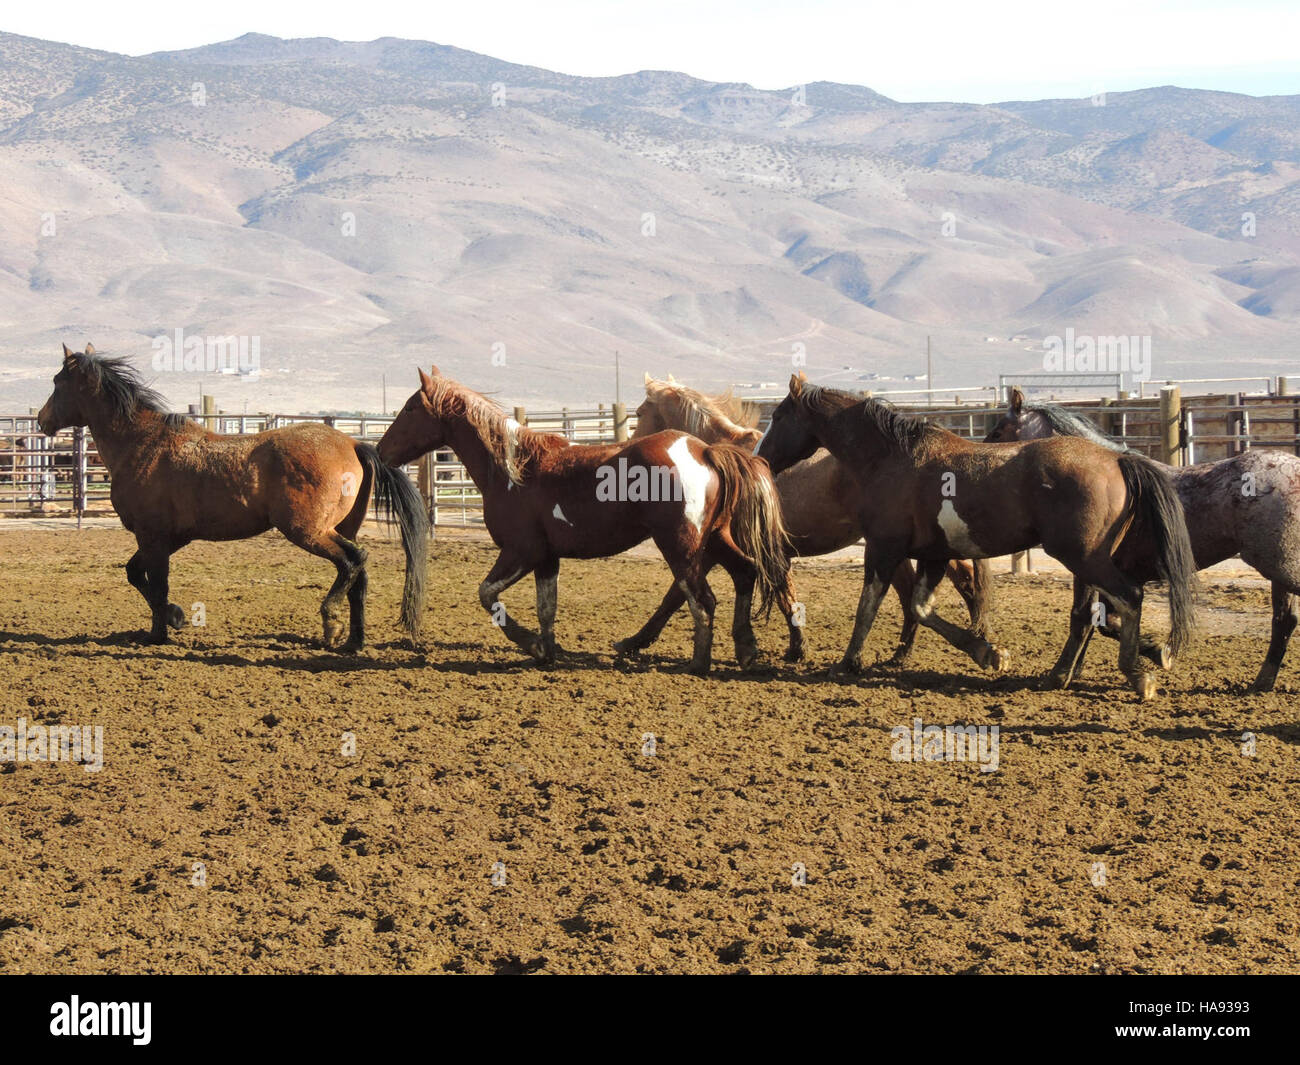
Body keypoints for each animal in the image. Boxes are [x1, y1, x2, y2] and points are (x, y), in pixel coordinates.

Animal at [37, 345, 427, 650]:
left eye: (57, 382)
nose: (41, 420)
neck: (141, 443)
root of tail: (353, 444)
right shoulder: (171, 537)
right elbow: (136, 574)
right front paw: (172, 619)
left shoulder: (153, 535)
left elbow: (156, 583)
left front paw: (162, 630)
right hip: (342, 527)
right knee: (359, 574)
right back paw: (354, 643)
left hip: (309, 531)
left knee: (351, 561)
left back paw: (331, 623)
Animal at [377, 366, 791, 675]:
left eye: (411, 408)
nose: (380, 450)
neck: (512, 467)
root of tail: (703, 450)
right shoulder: (546, 559)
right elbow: (546, 608)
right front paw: (545, 650)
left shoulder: (521, 551)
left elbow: (487, 594)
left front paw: (531, 644)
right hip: (716, 538)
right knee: (746, 573)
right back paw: (746, 648)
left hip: (681, 547)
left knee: (703, 599)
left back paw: (699, 663)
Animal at [629, 373, 992, 664]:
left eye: (640, 412)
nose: (628, 447)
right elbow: (786, 596)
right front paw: (796, 648)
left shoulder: (716, 550)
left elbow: (676, 595)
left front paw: (635, 641)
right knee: (913, 593)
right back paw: (908, 652)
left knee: (963, 582)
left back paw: (972, 637)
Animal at [758, 374, 1200, 700]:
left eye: (778, 416)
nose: (762, 457)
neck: (891, 459)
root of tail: (1117, 459)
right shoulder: (933, 554)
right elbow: (921, 607)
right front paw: (989, 653)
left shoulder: (883, 548)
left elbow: (868, 605)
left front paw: (848, 662)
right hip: (1086, 561)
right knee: (1095, 611)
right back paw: (1065, 674)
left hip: (1083, 557)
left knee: (1128, 597)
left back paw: (1135, 675)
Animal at [987, 387, 1300, 691]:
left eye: (999, 432)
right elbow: (1106, 621)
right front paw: (1157, 653)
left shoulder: (1087, 569)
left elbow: (1086, 618)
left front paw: (1061, 675)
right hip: (1279, 573)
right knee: (1284, 621)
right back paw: (1261, 682)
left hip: (1280, 567)